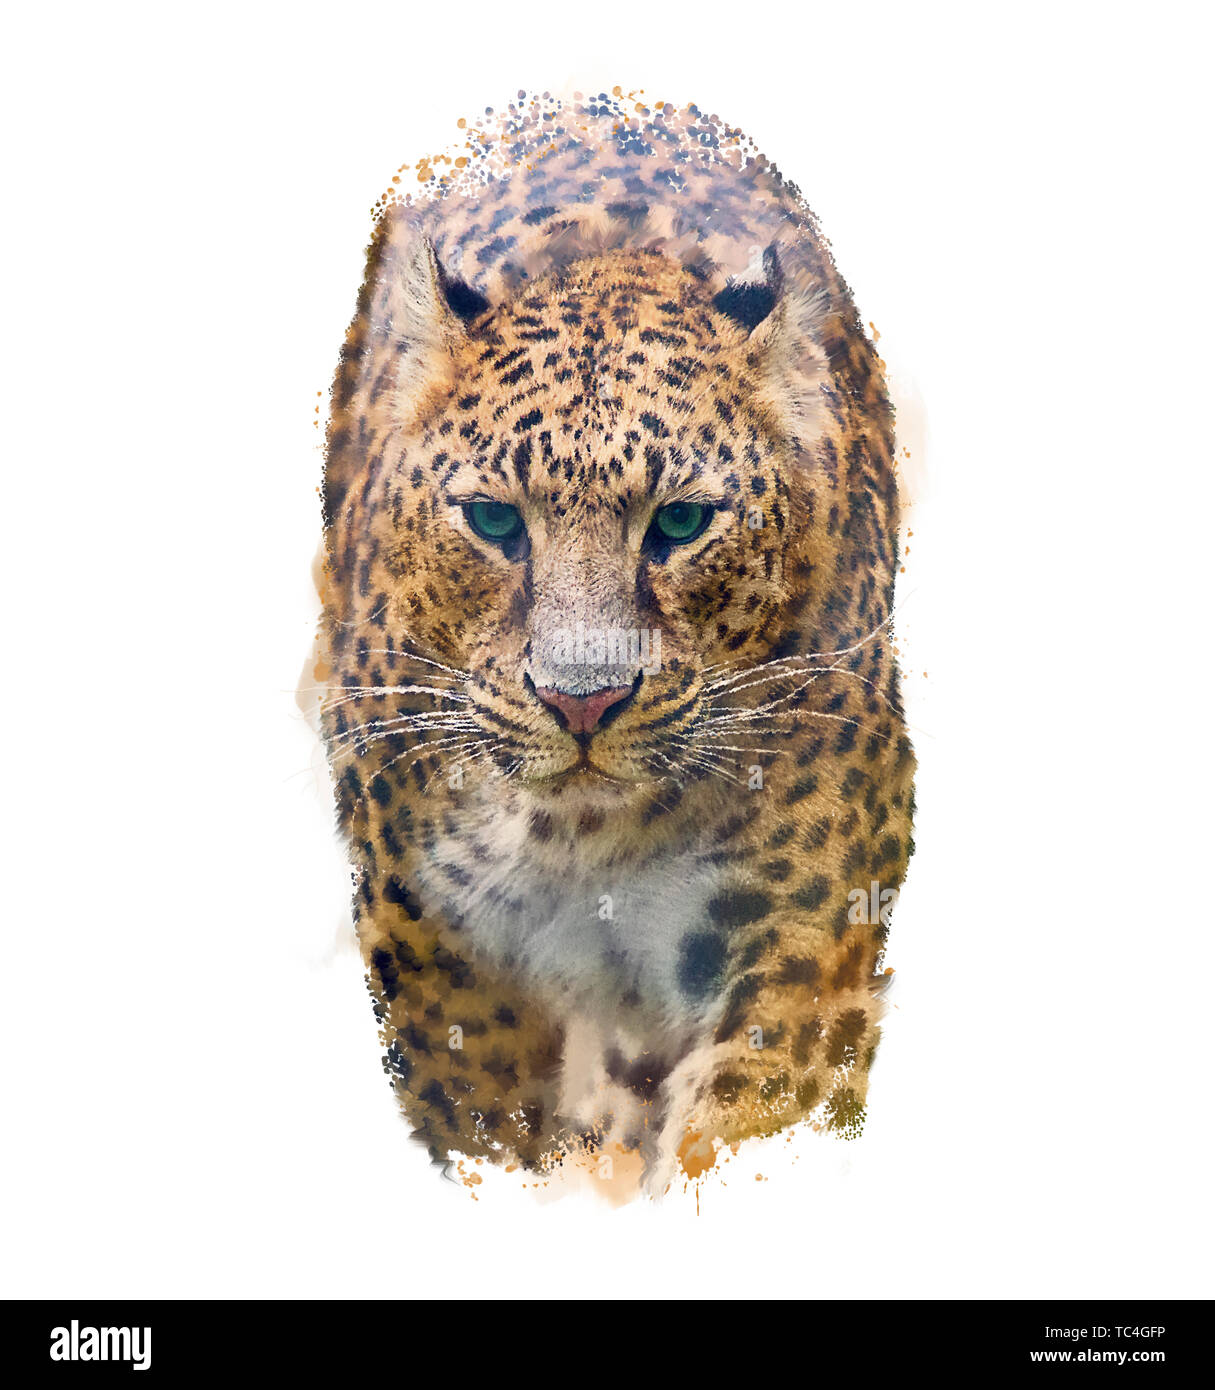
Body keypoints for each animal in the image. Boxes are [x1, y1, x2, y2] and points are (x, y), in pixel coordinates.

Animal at [311, 90, 916, 1196]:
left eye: (679, 523)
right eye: (492, 520)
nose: (581, 700)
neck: (586, 841)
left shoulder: (802, 930)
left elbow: (746, 1119)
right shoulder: (435, 943)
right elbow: (487, 1127)